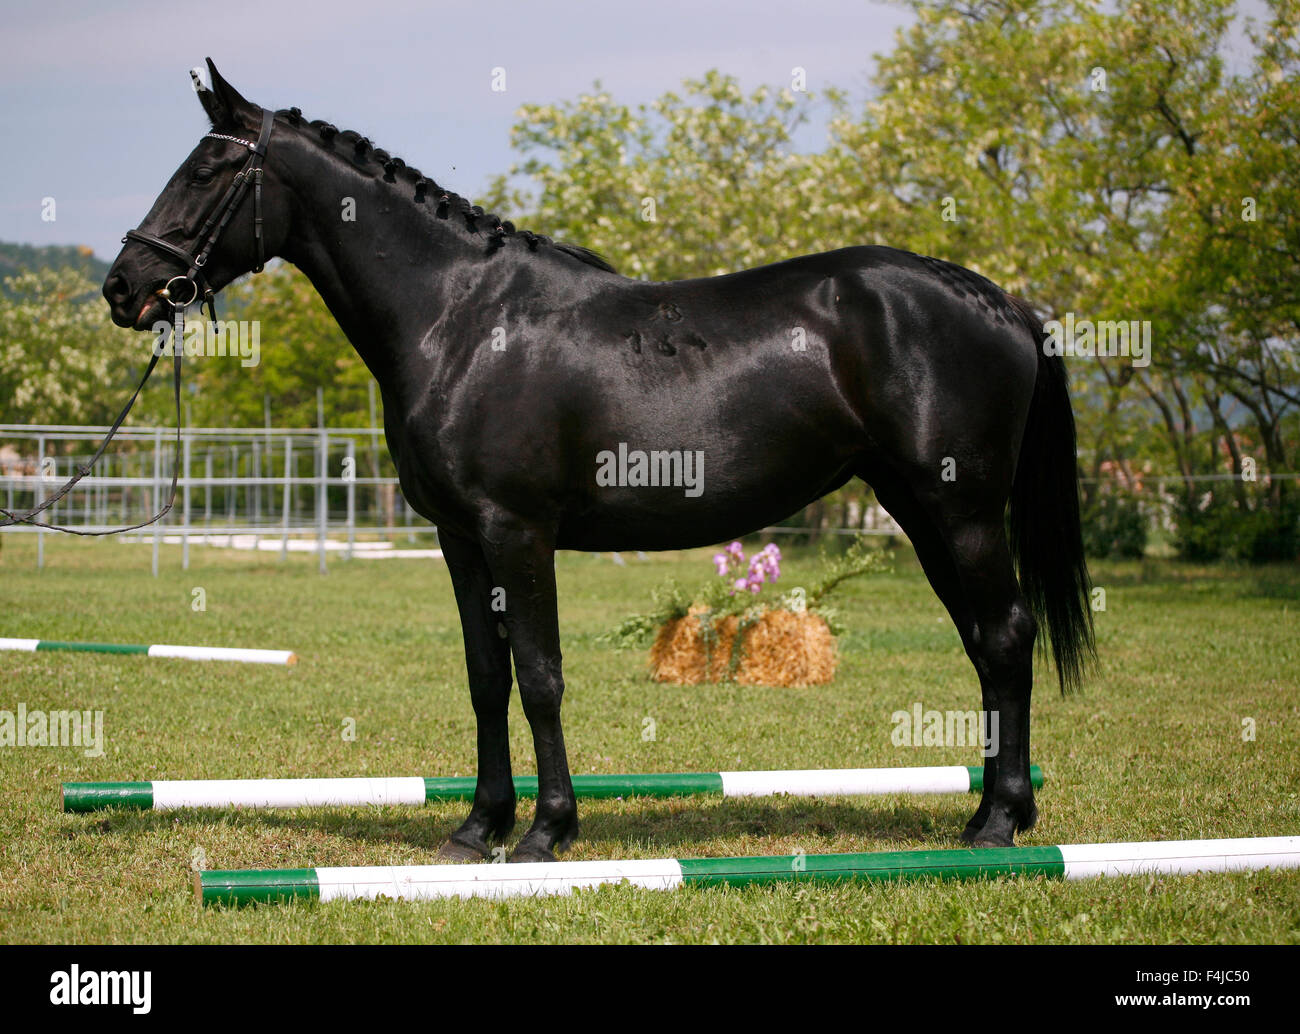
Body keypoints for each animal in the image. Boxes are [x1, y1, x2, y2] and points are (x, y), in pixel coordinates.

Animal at [103, 60, 1094, 862]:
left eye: (209, 170)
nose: (124, 287)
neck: (460, 318)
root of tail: (997, 301)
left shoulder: (516, 532)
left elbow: (540, 677)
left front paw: (547, 830)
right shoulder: (461, 541)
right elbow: (486, 678)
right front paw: (478, 827)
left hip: (961, 512)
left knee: (1006, 638)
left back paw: (1000, 823)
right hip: (922, 511)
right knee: (984, 644)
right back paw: (987, 815)